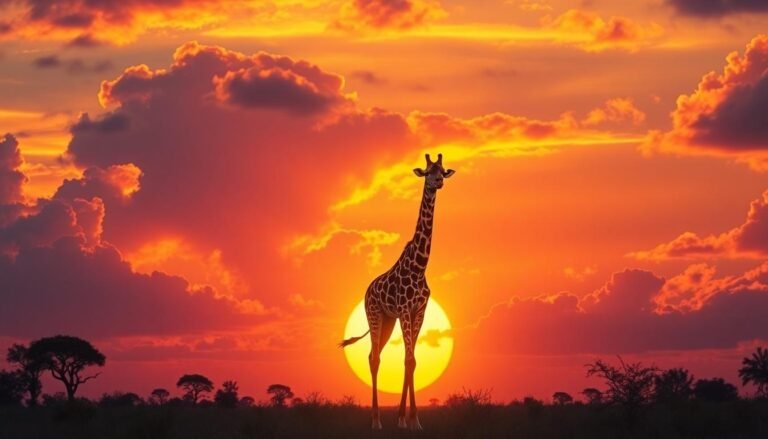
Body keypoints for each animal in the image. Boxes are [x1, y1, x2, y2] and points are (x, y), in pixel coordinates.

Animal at [339, 153, 455, 430]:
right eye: (428, 172)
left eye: (442, 171)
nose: (438, 182)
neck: (420, 265)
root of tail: (367, 291)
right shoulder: (404, 309)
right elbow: (409, 359)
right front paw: (409, 420)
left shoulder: (418, 311)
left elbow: (410, 360)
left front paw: (408, 419)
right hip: (375, 314)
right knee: (374, 358)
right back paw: (375, 421)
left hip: (388, 319)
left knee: (375, 354)